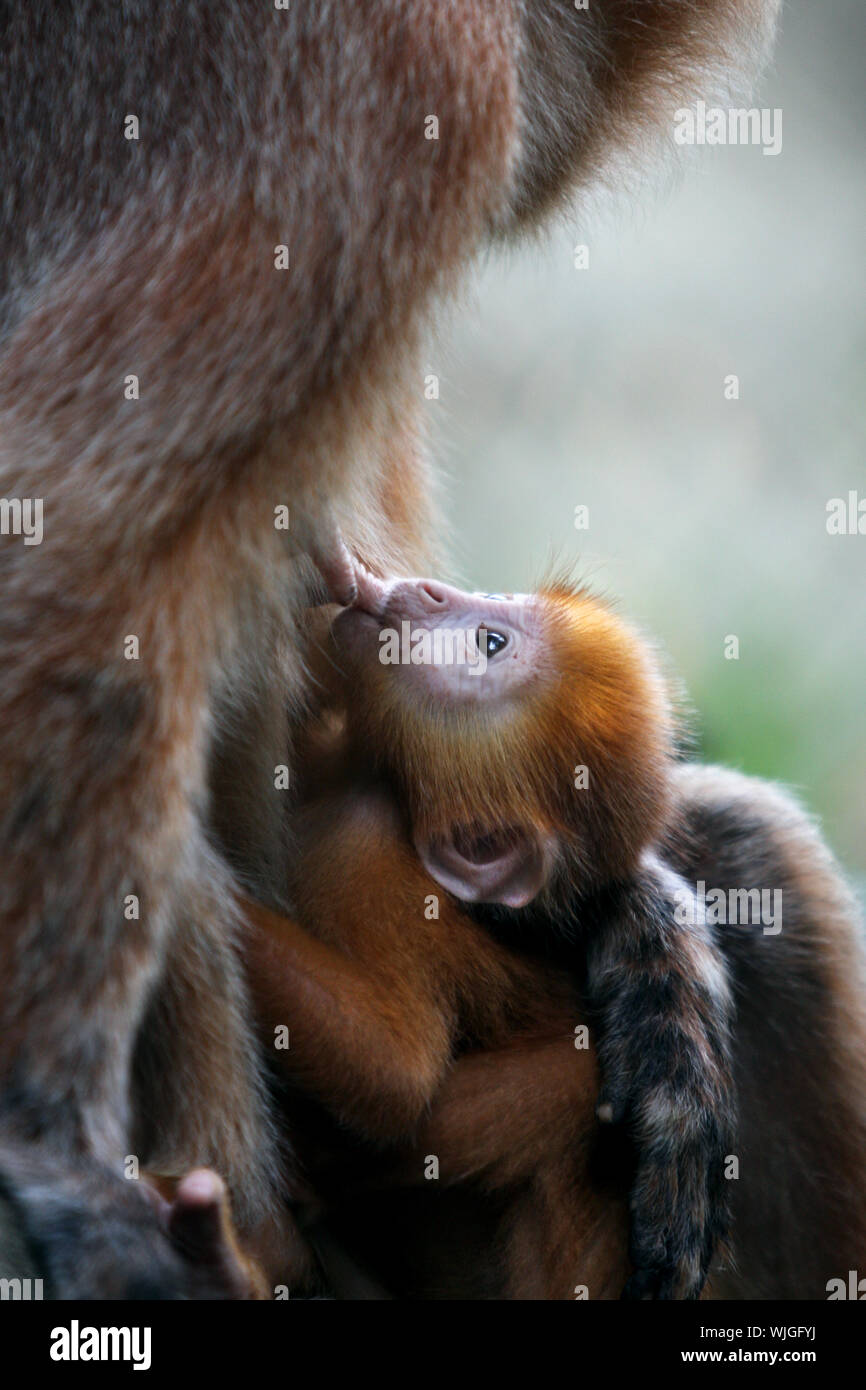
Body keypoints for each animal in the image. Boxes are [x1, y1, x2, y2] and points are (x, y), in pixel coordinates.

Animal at [0, 1, 779, 1294]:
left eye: (489, 636)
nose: (411, 596)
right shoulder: (407, 66)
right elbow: (64, 540)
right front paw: (62, 1166)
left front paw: (649, 957)